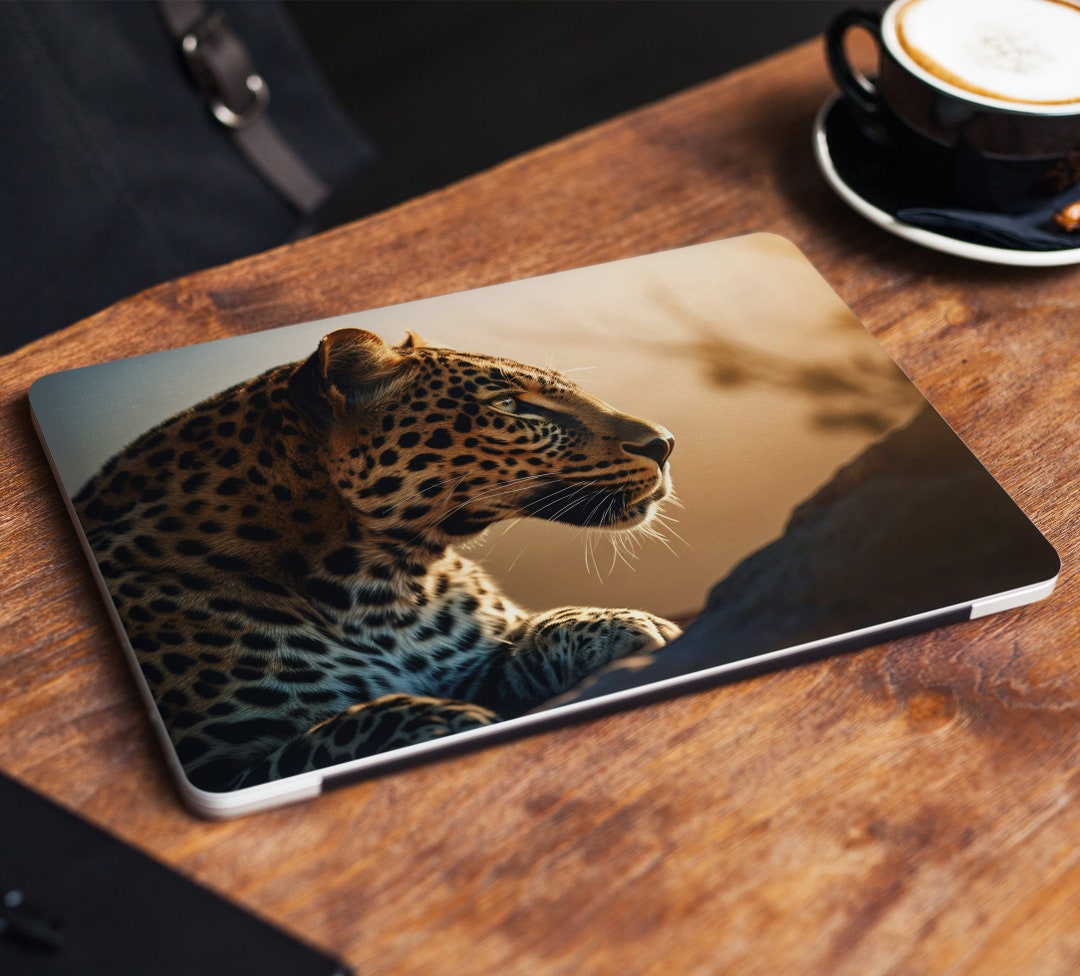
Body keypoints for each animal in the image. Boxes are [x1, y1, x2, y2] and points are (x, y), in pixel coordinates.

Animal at [74, 328, 681, 793]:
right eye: (509, 406)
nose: (666, 443)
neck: (379, 583)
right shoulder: (223, 769)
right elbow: (339, 726)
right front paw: (442, 719)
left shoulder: (478, 662)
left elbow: (534, 632)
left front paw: (630, 624)